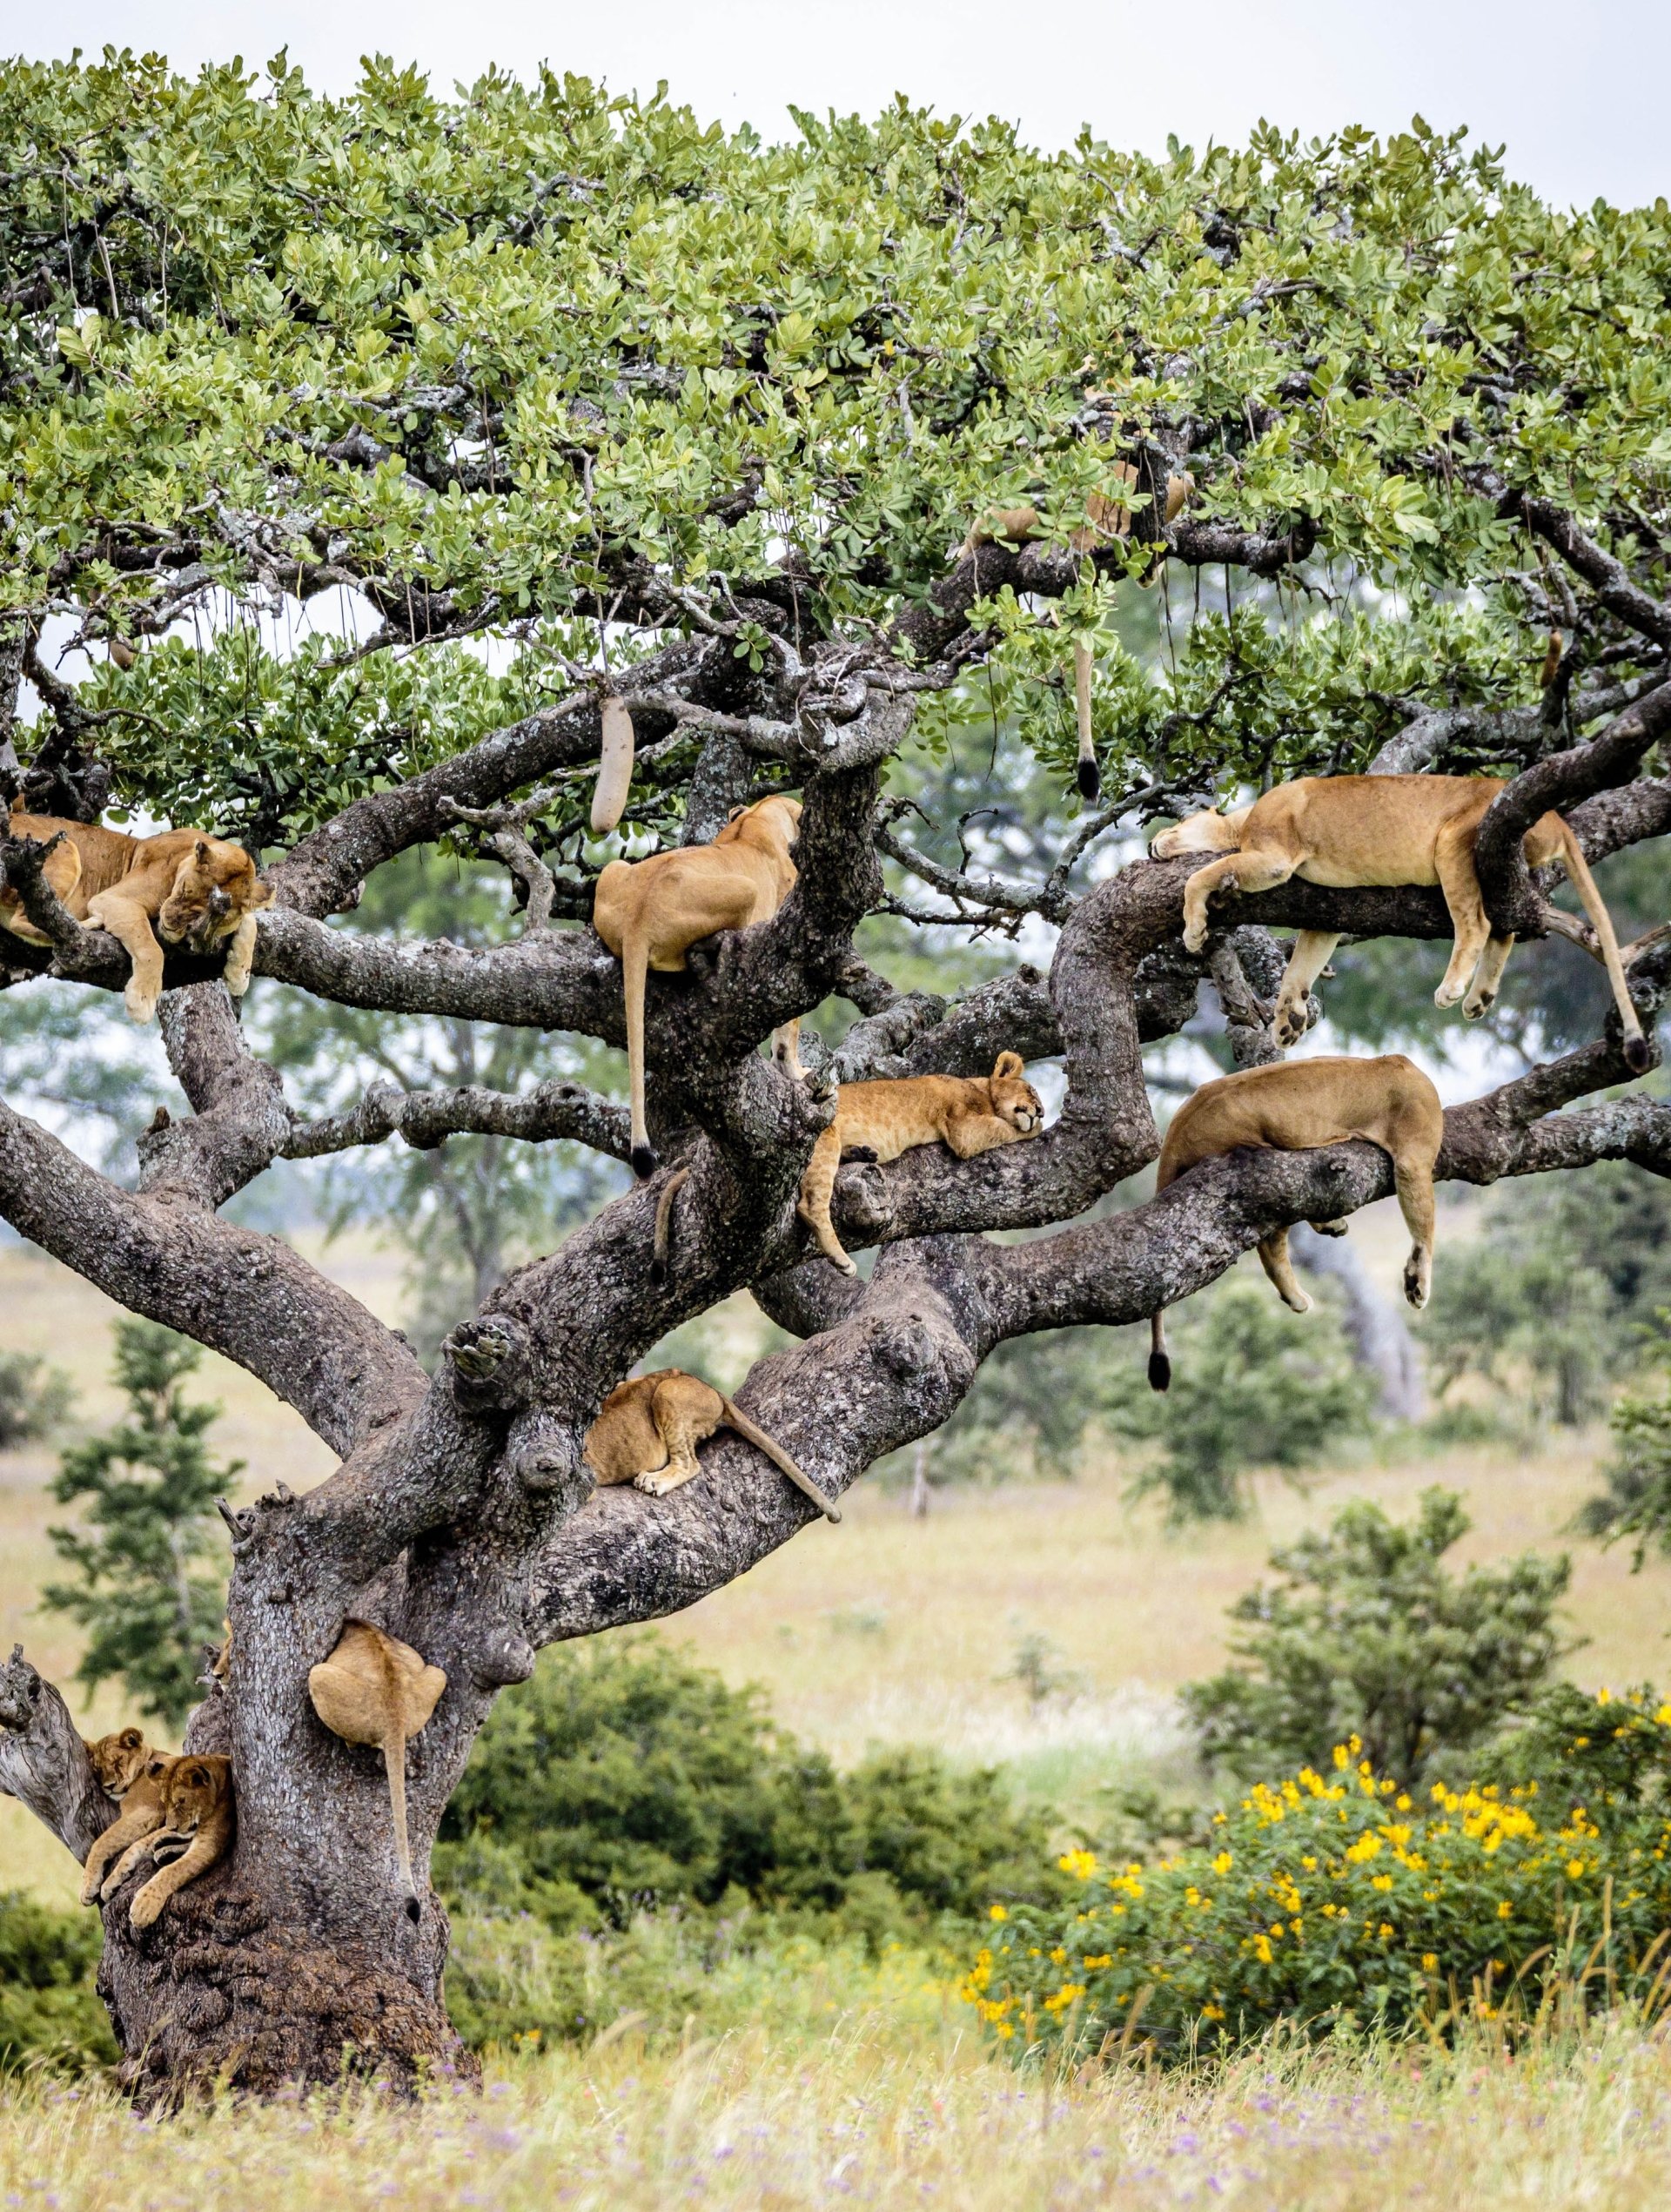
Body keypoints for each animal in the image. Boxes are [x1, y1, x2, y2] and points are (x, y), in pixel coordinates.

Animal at [0, 810, 272, 1022]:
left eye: (203, 914)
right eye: (185, 889)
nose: (171, 922)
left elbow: (251, 921)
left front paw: (239, 974)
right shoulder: (113, 899)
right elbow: (151, 949)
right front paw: (142, 999)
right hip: (65, 849)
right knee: (23, 922)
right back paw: (88, 924)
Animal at [592, 794, 804, 1178]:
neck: (756, 819)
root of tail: (637, 919)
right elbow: (789, 1028)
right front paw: (796, 1071)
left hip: (614, 868)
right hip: (746, 890)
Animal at [798, 1052, 1044, 1276]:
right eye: (1030, 1091)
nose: (1041, 1112)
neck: (983, 1091)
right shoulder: (962, 1129)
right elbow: (1003, 1127)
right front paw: (1036, 1127)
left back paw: (862, 1153)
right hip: (826, 1136)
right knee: (810, 1205)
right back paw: (841, 1260)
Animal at [1147, 1053, 1445, 1390]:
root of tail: (1177, 1127)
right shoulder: (1413, 1157)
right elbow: (1424, 1230)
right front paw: (1418, 1285)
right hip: (1267, 1176)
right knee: (1271, 1248)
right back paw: (1297, 1297)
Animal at [1151, 775, 1651, 1068]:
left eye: (1173, 825)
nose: (1154, 842)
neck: (1242, 823)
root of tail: (1553, 815)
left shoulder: (1274, 858)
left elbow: (1200, 875)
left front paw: (1193, 930)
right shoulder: (1325, 914)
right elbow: (1299, 970)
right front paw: (1289, 1021)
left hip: (1454, 842)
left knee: (1477, 924)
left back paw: (1452, 990)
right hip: (1499, 869)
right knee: (1507, 924)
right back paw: (1480, 999)